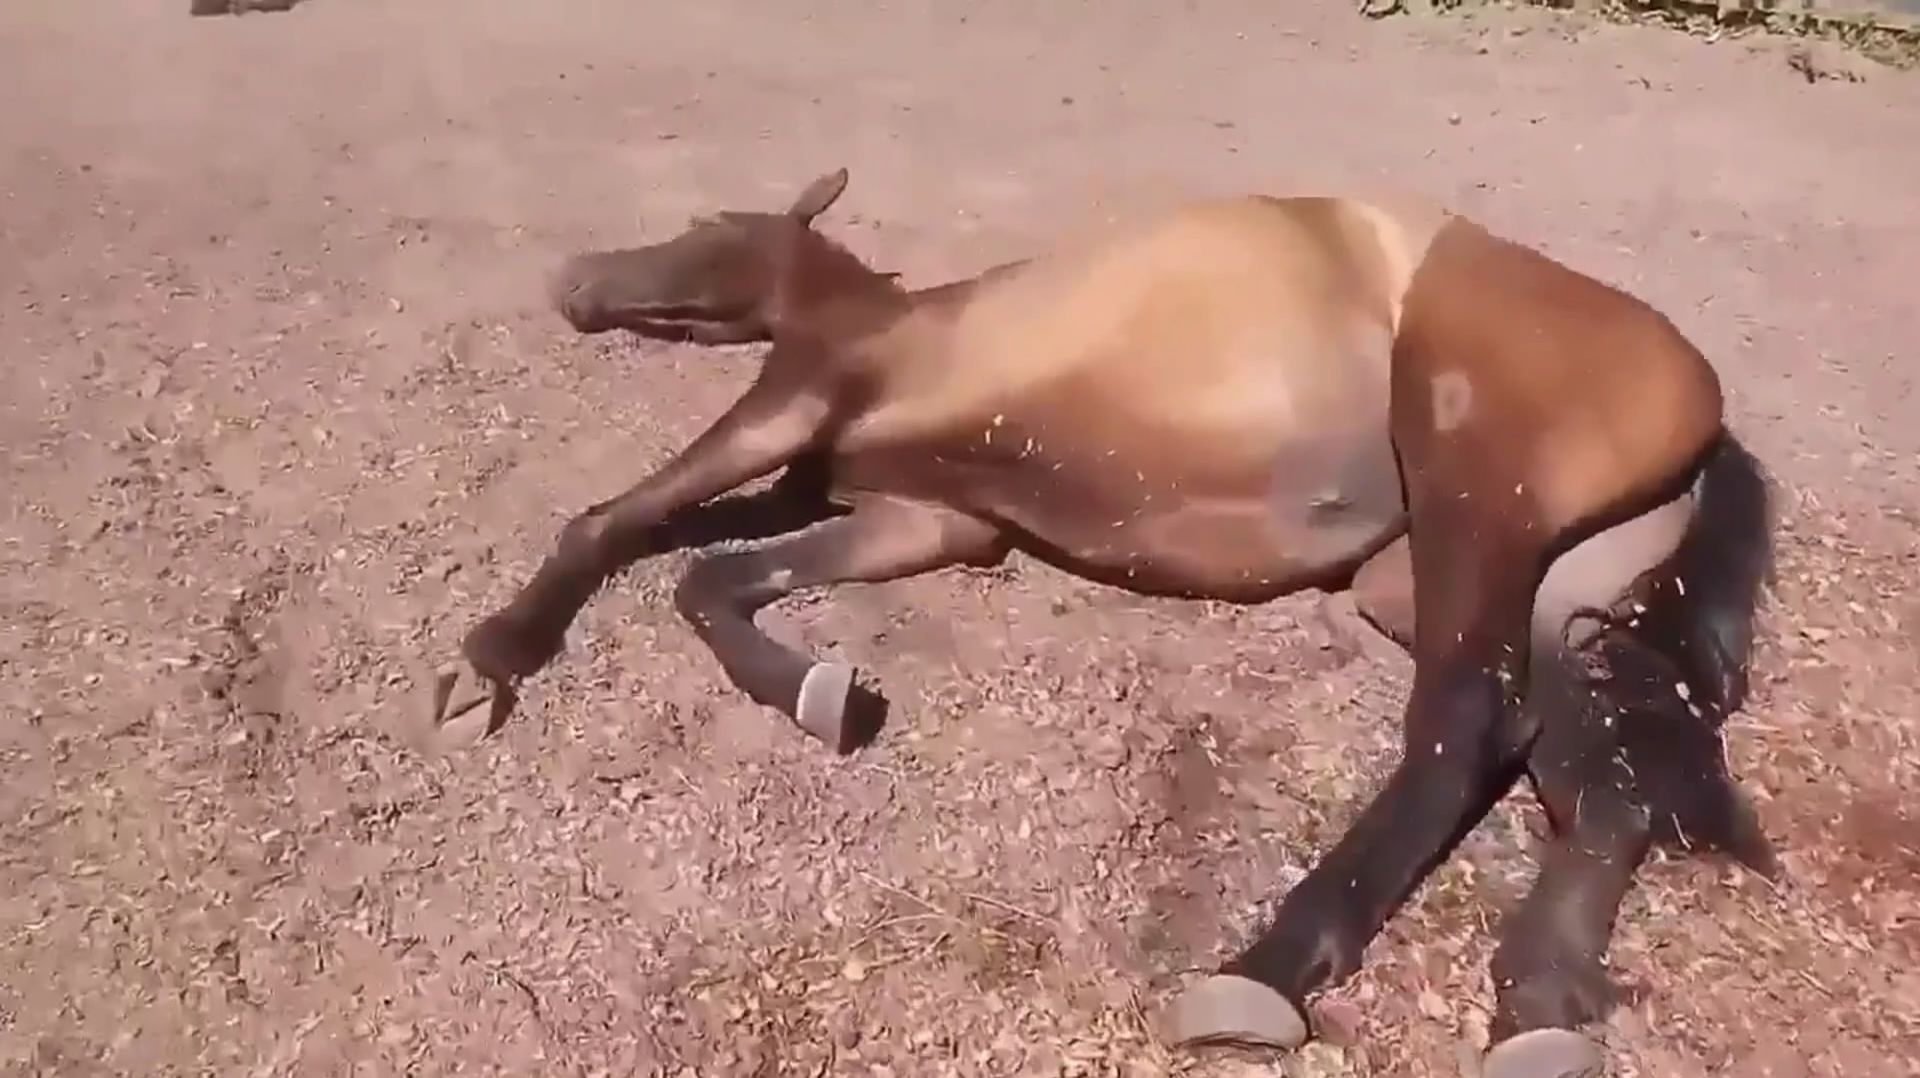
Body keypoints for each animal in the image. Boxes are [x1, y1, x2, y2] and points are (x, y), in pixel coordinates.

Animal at [431, 169, 1778, 1078]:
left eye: (712, 229)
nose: (575, 282)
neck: (908, 323)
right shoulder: (928, 519)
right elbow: (712, 582)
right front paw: (823, 695)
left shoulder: (792, 399)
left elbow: (619, 521)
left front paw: (490, 662)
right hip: (1492, 583)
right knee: (1592, 777)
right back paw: (1540, 1000)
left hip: (1473, 482)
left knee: (1468, 719)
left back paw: (1261, 974)